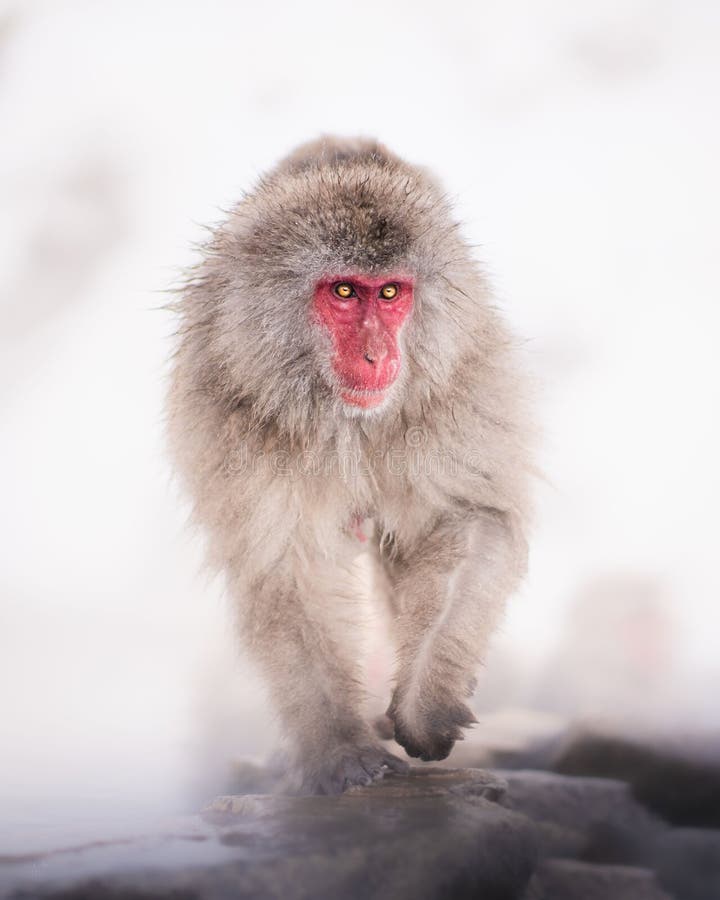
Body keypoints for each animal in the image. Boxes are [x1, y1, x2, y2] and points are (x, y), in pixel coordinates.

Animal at [166, 136, 533, 795]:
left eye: (389, 293)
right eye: (343, 292)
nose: (376, 354)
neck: (347, 423)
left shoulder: (457, 392)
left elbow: (474, 516)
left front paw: (424, 704)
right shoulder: (234, 424)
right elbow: (288, 572)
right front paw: (342, 749)